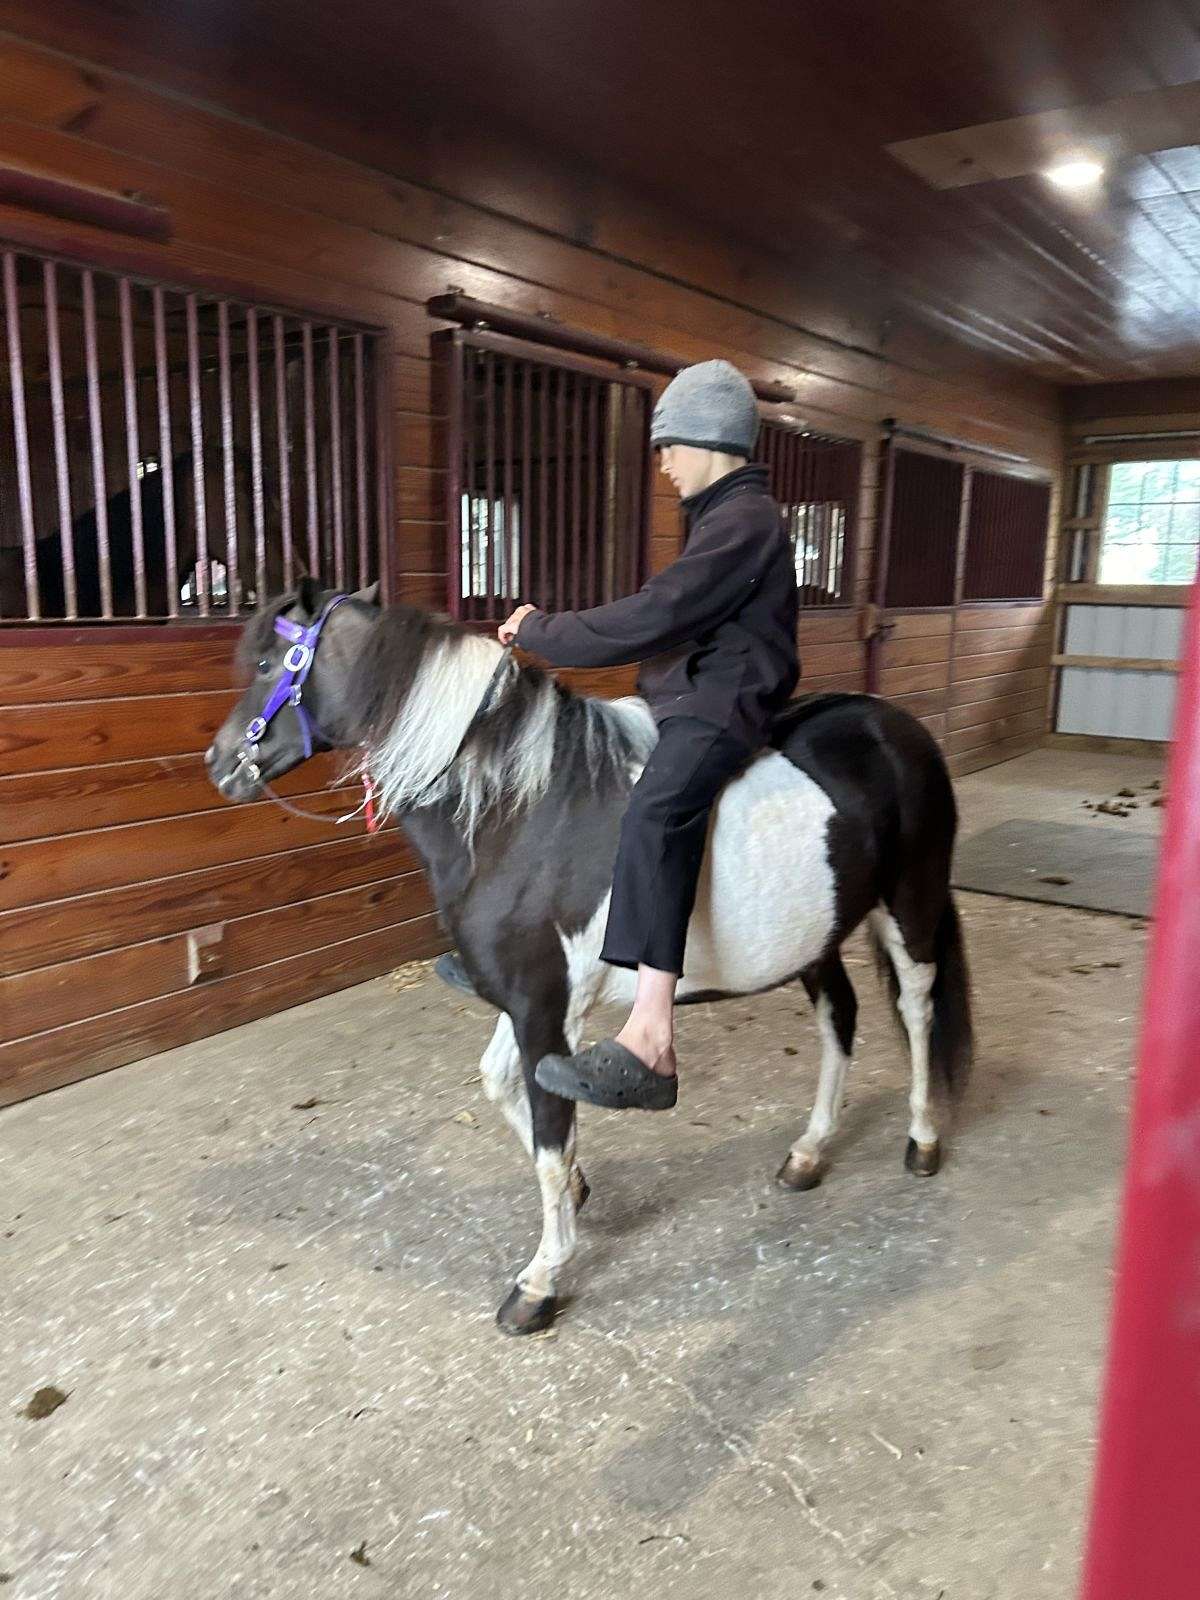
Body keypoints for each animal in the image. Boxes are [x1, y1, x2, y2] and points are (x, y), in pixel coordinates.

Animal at [205, 579, 973, 1335]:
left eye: (269, 665)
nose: (218, 763)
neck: (520, 811)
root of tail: (896, 727)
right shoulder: (529, 998)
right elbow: (507, 1090)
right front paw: (578, 1194)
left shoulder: (545, 1007)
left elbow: (550, 1137)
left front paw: (541, 1280)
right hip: (816, 934)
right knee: (839, 1018)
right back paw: (809, 1152)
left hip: (908, 908)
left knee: (916, 1011)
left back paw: (922, 1139)